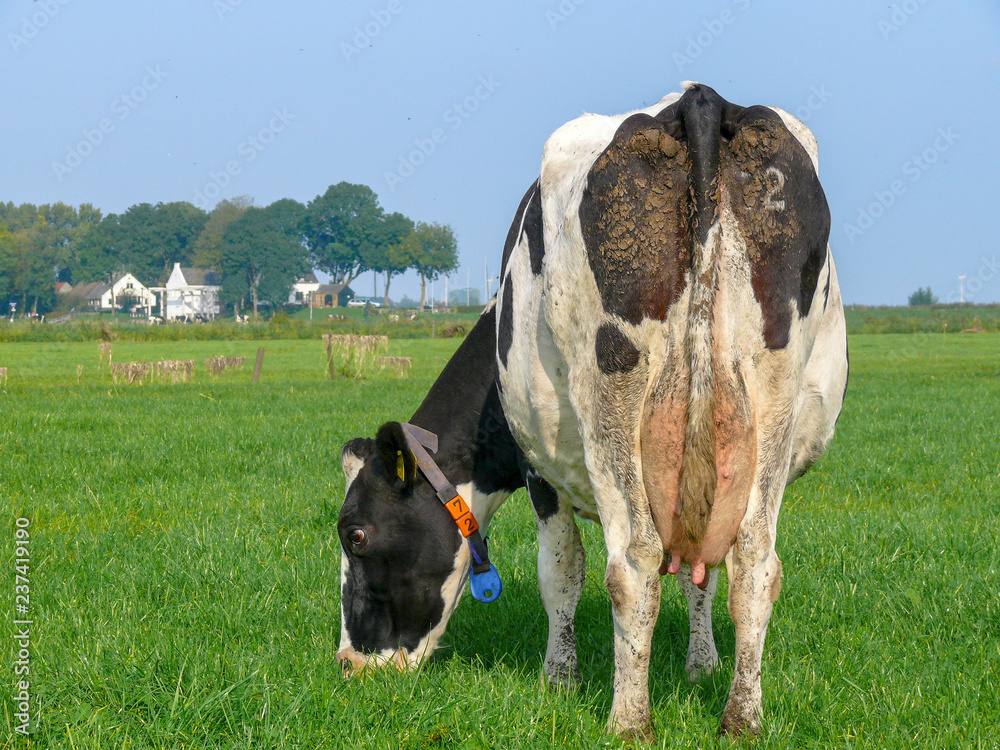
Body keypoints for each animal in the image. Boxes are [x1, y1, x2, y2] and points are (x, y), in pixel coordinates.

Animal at [494, 82, 847, 738]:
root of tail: (702, 100)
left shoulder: (539, 472)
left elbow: (561, 569)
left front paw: (559, 679)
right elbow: (699, 575)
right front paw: (702, 666)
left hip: (613, 403)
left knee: (632, 564)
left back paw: (629, 721)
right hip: (771, 406)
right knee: (755, 564)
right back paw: (742, 718)